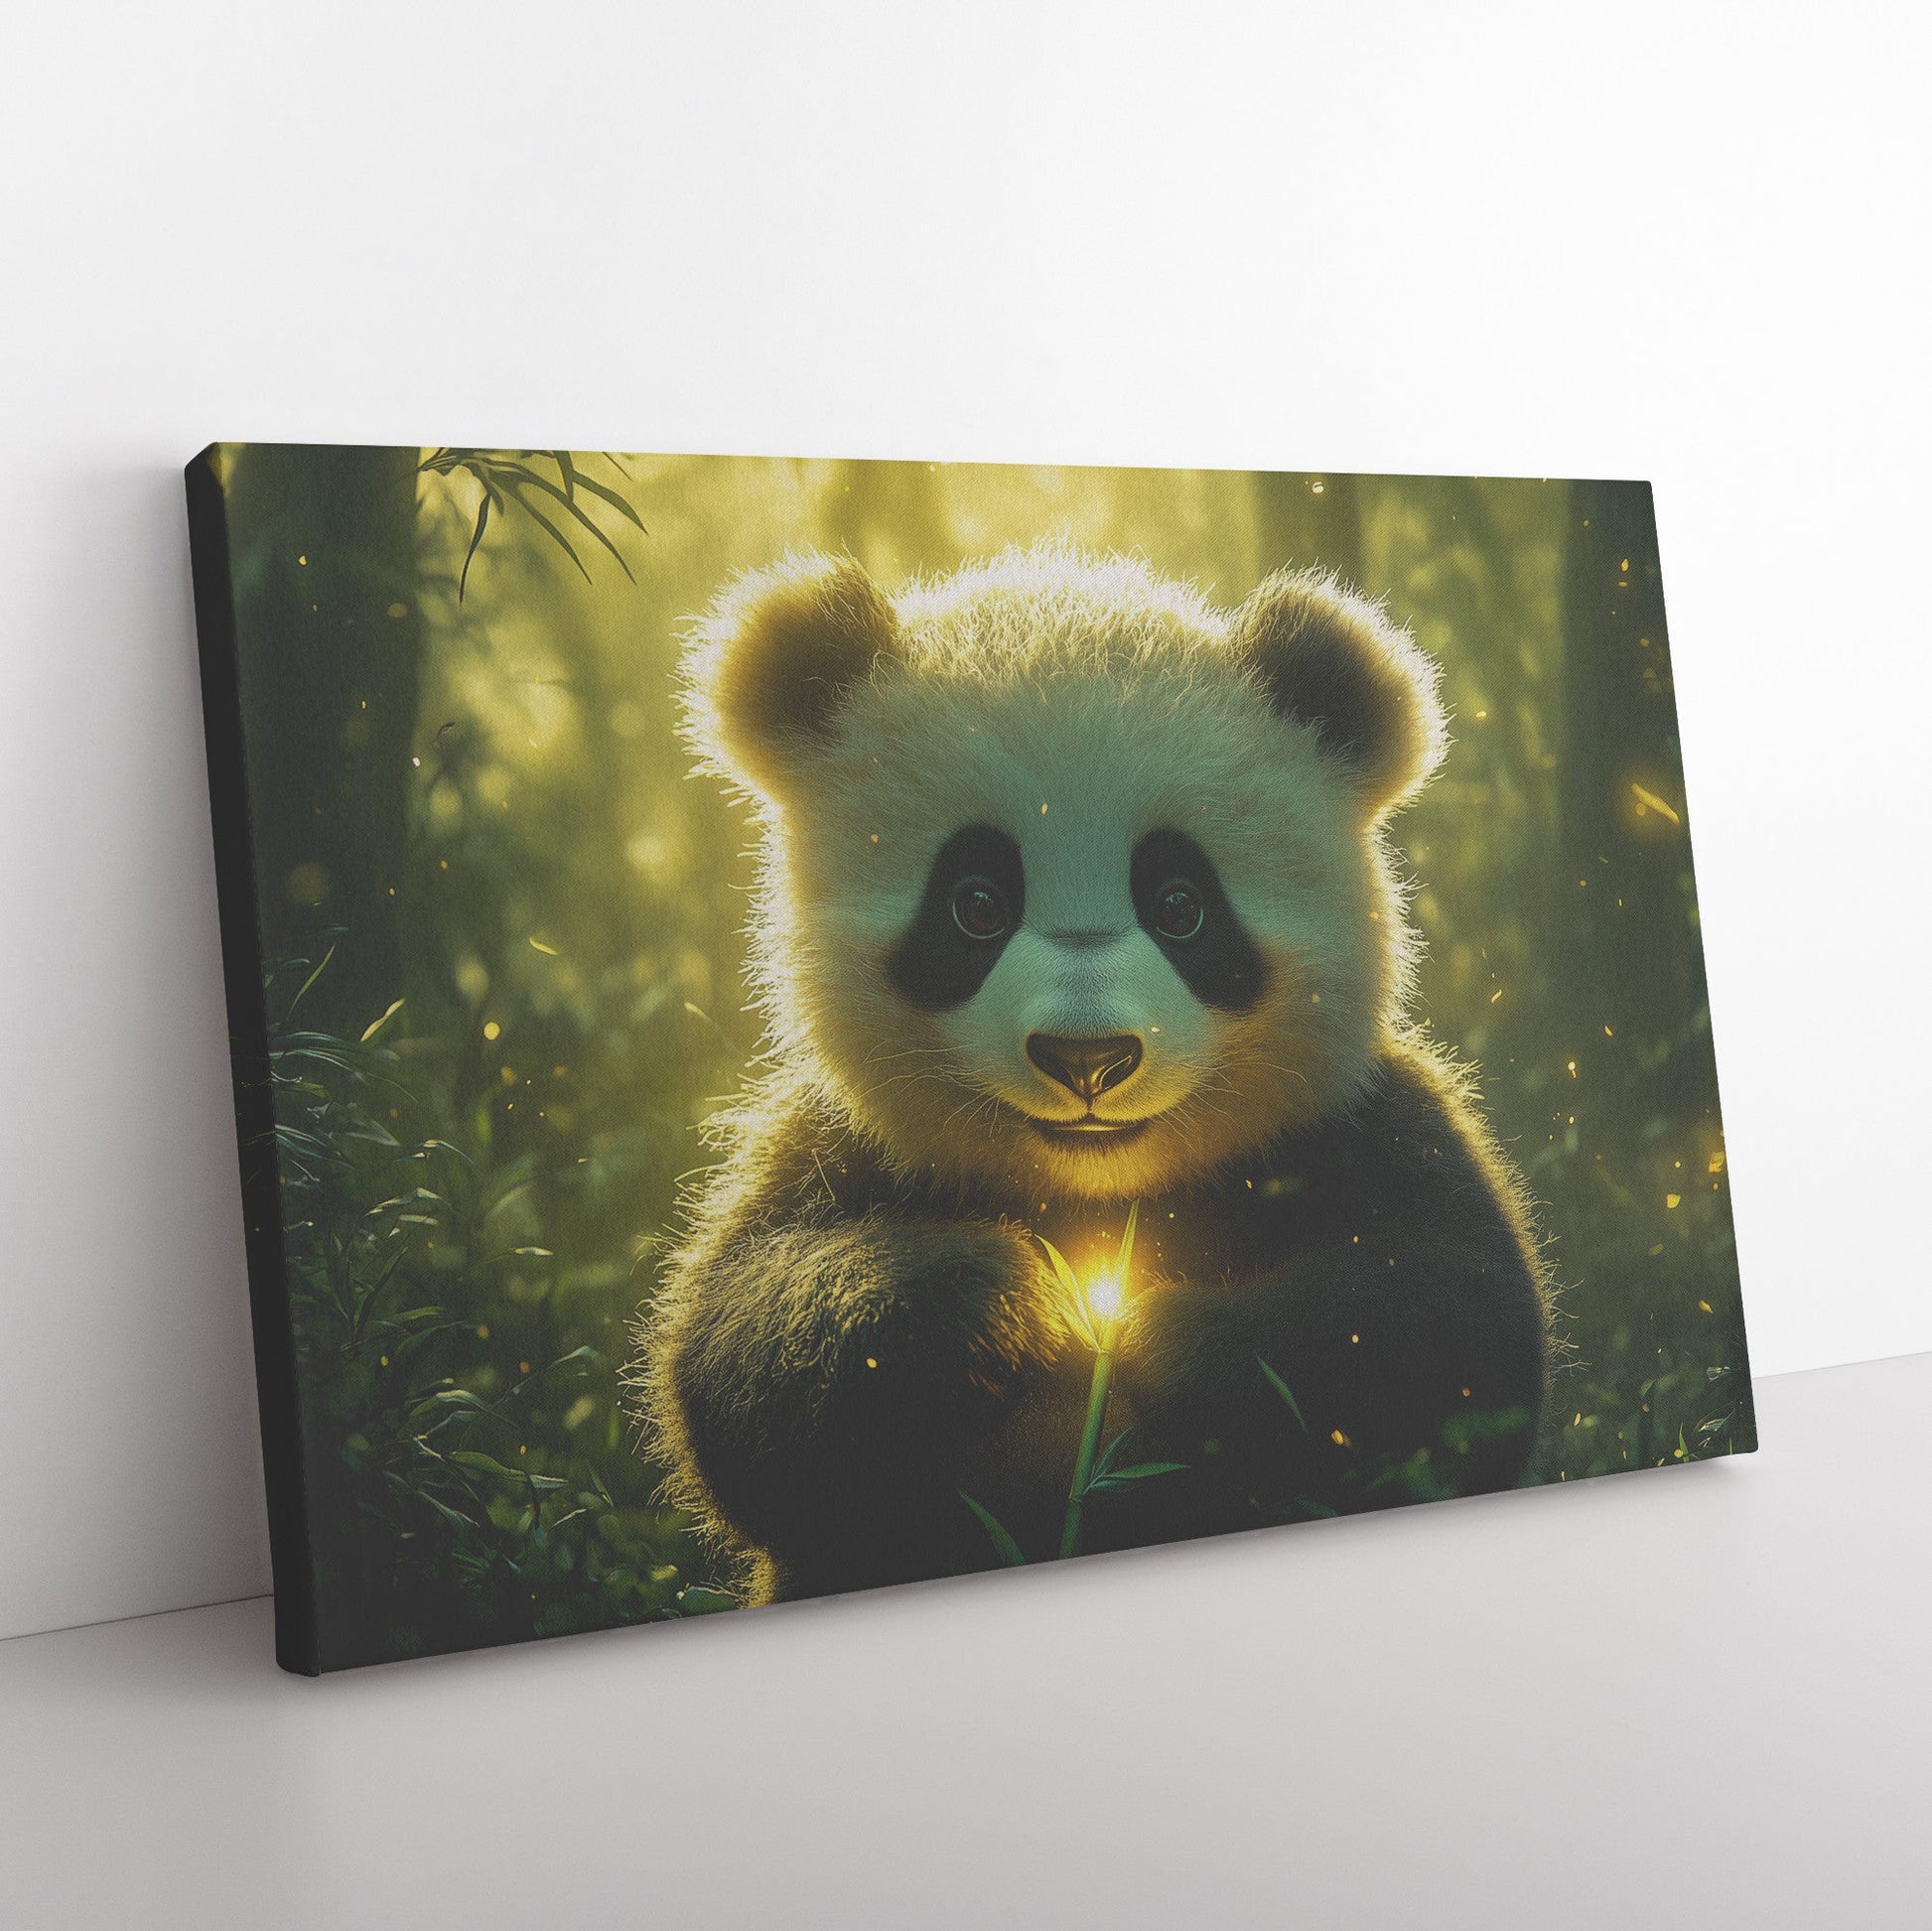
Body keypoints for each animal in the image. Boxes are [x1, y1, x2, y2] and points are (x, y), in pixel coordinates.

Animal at [637, 542, 1554, 1606]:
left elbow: (1455, 1328)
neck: (1096, 1192)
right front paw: (1006, 1304)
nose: (1087, 1058)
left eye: (1181, 903)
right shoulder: (840, 1142)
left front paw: (1158, 1336)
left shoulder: (1354, 1120)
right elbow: (734, 1361)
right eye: (977, 901)